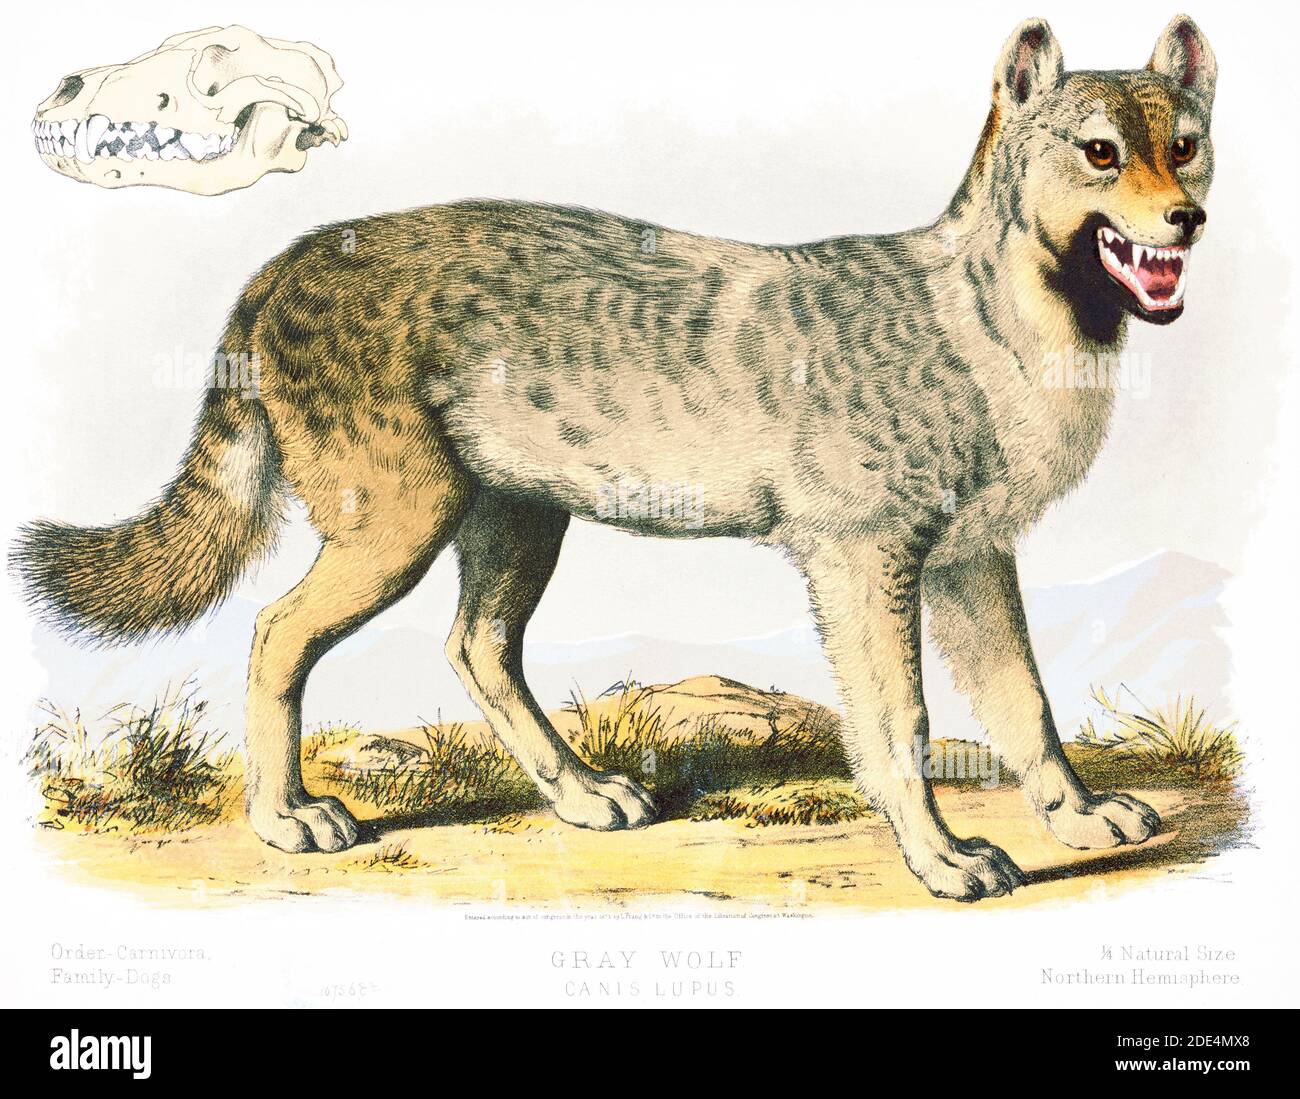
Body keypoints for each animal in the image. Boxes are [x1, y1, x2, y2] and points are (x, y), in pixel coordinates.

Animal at [15, 15, 1215, 900]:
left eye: (1187, 143)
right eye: (1099, 151)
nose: (1188, 219)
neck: (999, 320)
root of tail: (295, 253)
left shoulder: (970, 558)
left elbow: (1025, 702)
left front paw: (1076, 814)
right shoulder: (862, 557)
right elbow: (899, 725)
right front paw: (943, 859)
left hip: (515, 520)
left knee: (475, 648)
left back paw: (584, 794)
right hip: (397, 524)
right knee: (276, 632)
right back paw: (285, 818)